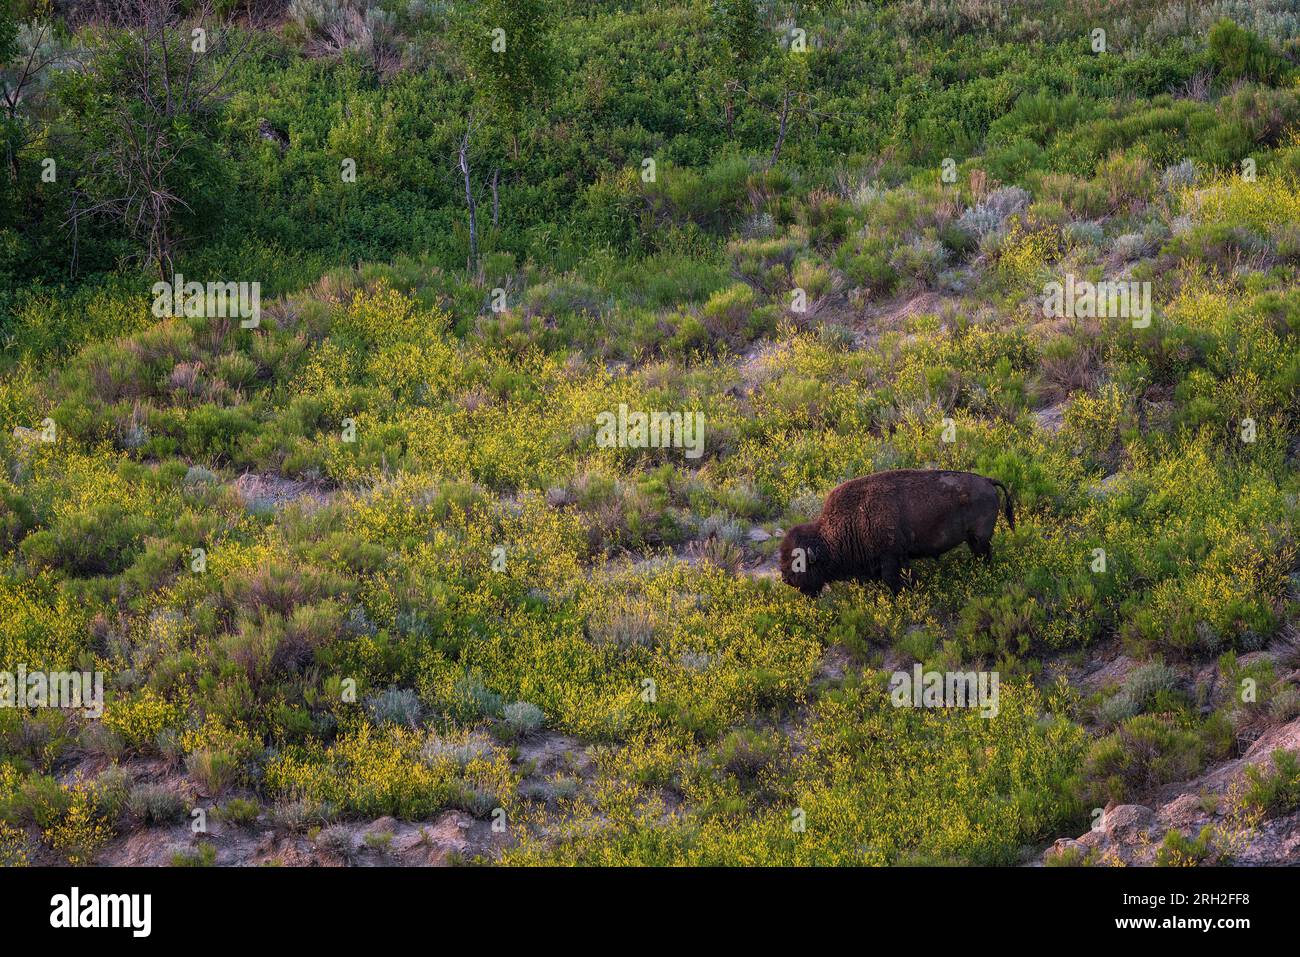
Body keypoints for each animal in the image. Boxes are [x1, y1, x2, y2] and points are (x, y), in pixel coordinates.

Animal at [778, 469, 1015, 596]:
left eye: (799, 563)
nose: (785, 579)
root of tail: (987, 480)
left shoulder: (891, 557)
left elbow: (895, 579)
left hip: (979, 538)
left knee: (984, 554)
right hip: (974, 539)